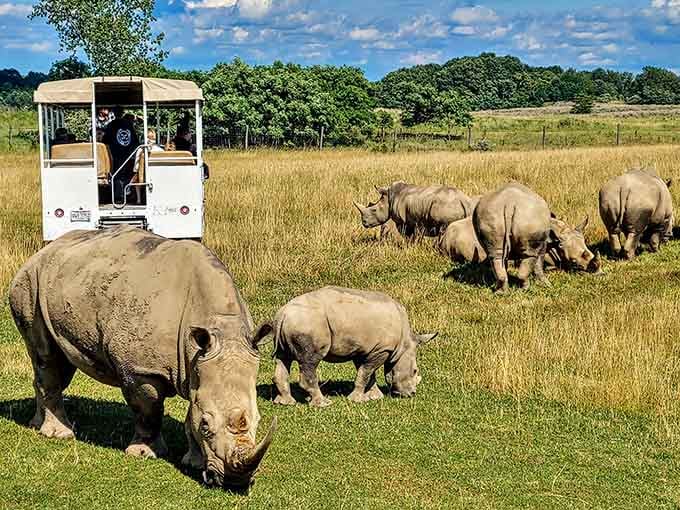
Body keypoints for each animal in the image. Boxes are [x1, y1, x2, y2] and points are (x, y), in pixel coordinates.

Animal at [8, 226, 275, 491]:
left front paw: (194, 462)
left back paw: (36, 425)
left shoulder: (200, 364)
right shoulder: (141, 371)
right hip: (30, 283)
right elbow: (148, 410)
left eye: (258, 420)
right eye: (206, 425)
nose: (235, 481)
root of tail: (41, 252)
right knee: (47, 357)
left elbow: (192, 408)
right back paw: (60, 434)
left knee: (55, 363)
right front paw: (145, 454)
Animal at [265, 286, 437, 407]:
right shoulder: (381, 349)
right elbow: (366, 372)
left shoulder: (364, 349)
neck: (404, 343)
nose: (412, 394)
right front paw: (357, 400)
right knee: (310, 361)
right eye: (414, 371)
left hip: (294, 322)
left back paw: (285, 403)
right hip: (307, 323)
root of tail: (282, 314)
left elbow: (367, 373)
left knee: (283, 358)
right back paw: (323, 404)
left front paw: (374, 397)